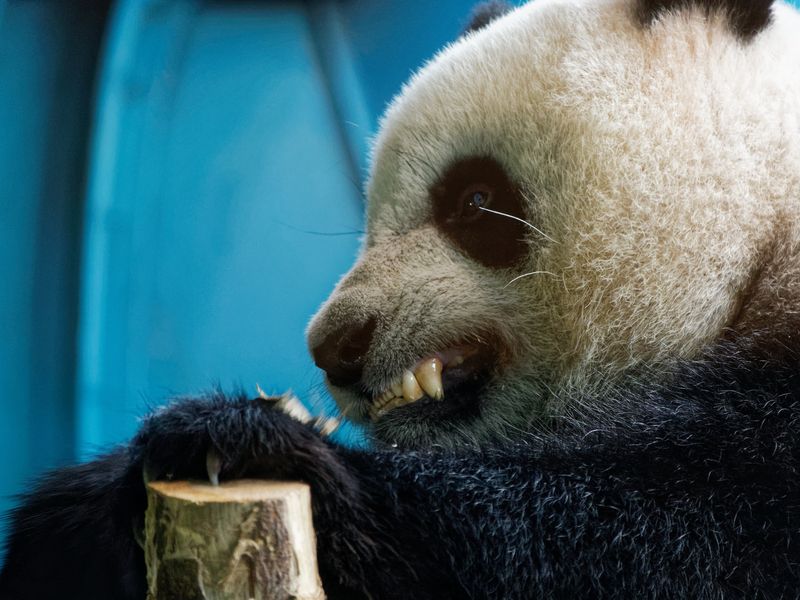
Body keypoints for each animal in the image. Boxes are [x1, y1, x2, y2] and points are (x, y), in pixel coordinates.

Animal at [2, 0, 800, 597]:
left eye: (474, 200)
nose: (336, 345)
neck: (763, 238)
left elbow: (657, 538)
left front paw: (246, 444)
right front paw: (81, 517)